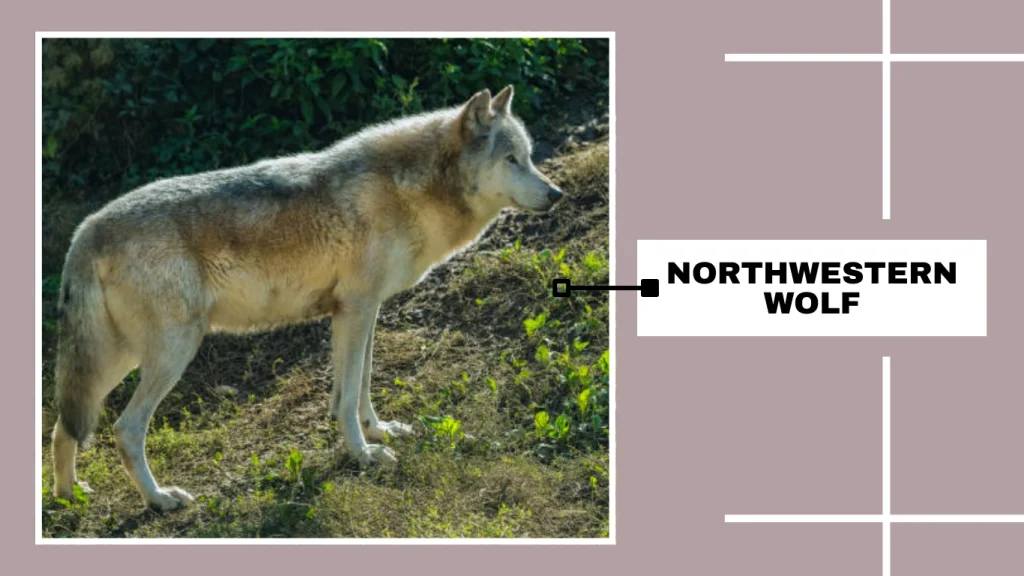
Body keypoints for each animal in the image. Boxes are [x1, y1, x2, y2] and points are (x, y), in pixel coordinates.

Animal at [51, 85, 563, 511]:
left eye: (529, 156)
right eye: (511, 159)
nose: (557, 193)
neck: (409, 190)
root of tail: (84, 232)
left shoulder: (363, 311)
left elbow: (361, 387)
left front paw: (379, 432)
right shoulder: (356, 310)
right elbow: (346, 397)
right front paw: (364, 455)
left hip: (119, 361)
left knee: (61, 425)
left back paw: (69, 497)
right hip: (172, 354)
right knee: (124, 430)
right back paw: (160, 500)